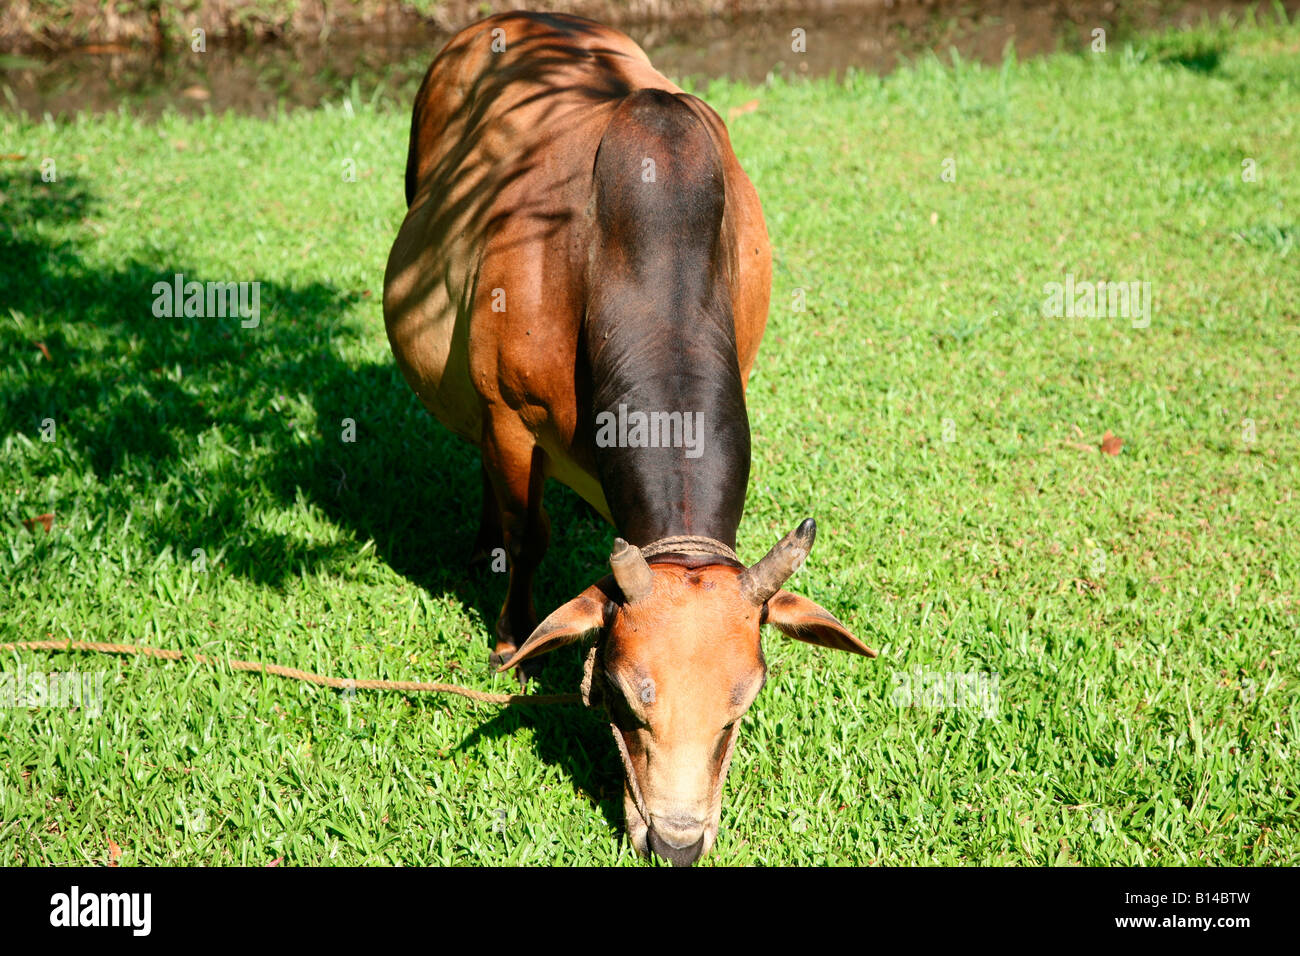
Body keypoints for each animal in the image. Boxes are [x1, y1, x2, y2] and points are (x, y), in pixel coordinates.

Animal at [383, 11, 876, 865]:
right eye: (622, 696)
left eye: (741, 706)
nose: (677, 842)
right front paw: (508, 639)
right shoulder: (509, 412)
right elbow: (530, 533)